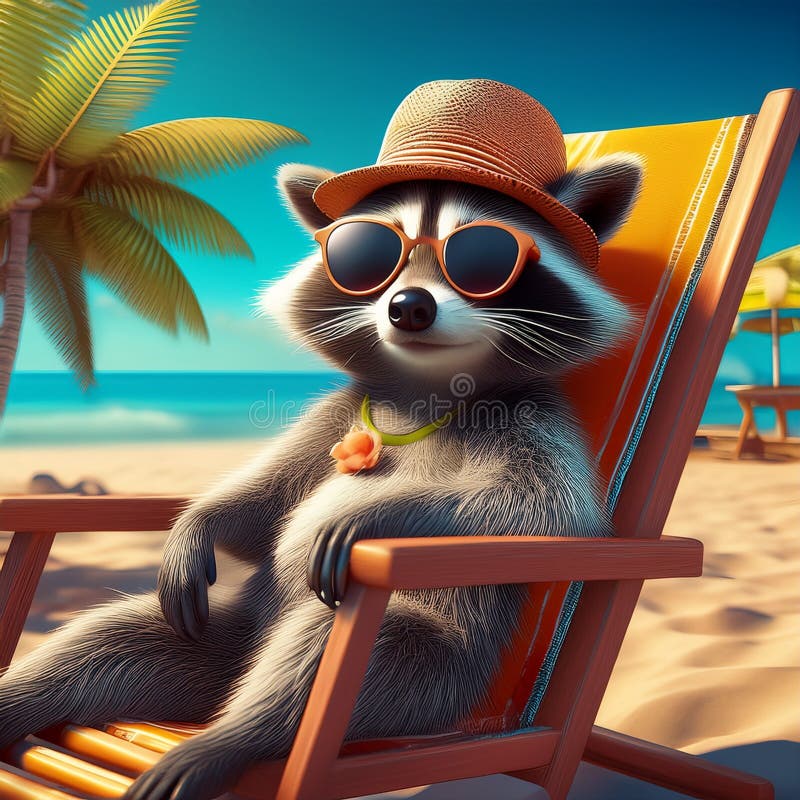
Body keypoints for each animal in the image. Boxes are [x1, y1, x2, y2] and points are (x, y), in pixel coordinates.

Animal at [0, 157, 641, 800]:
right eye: (367, 255)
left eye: (484, 258)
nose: (409, 305)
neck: (426, 386)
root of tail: (226, 687)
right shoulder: (334, 414)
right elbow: (264, 509)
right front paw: (197, 522)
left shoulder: (536, 418)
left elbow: (550, 511)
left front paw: (371, 514)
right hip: (217, 634)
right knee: (104, 643)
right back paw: (21, 699)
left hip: (436, 682)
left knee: (338, 649)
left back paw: (229, 741)